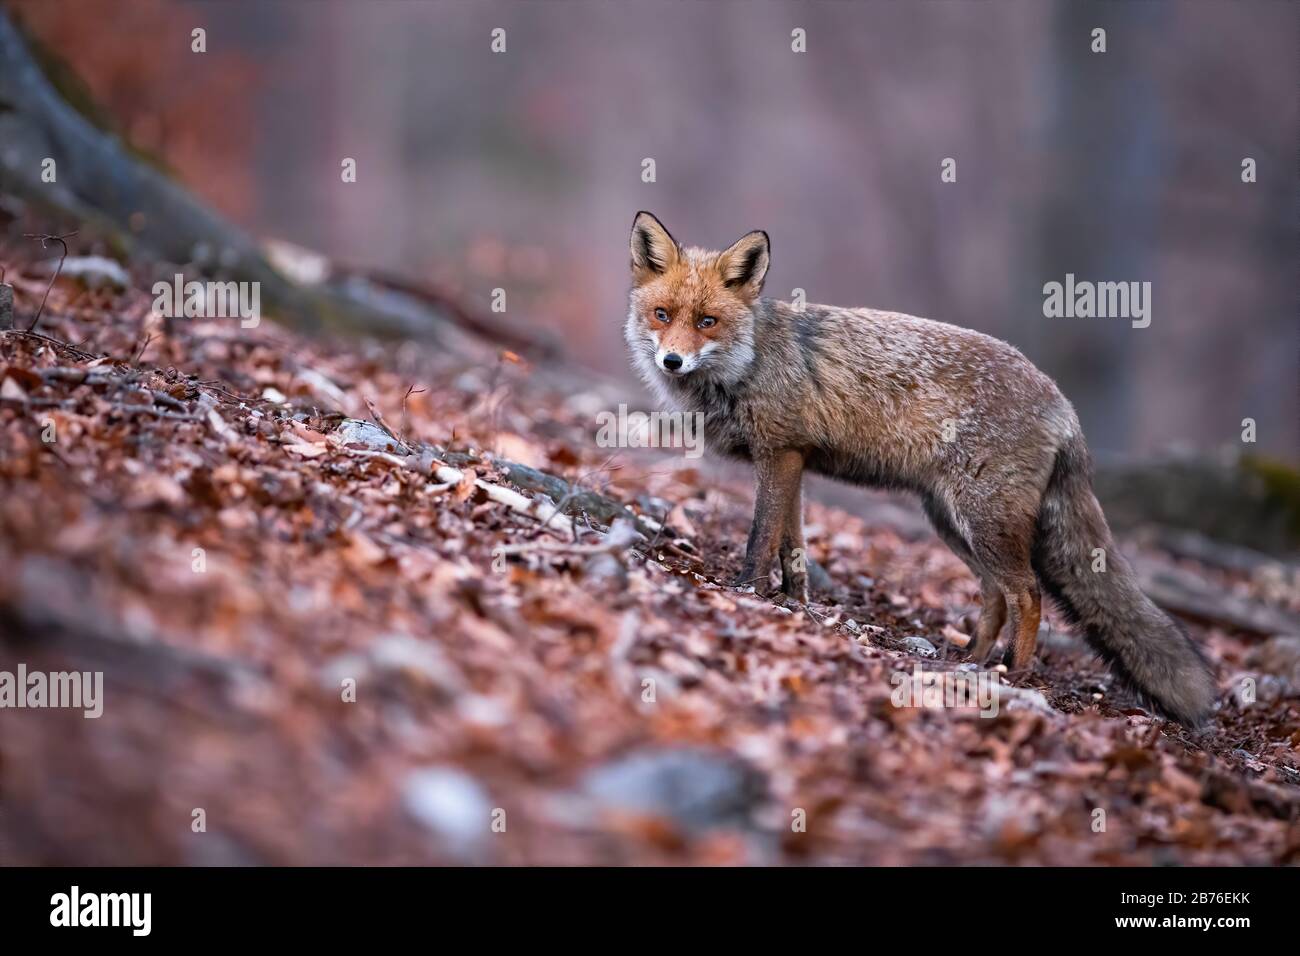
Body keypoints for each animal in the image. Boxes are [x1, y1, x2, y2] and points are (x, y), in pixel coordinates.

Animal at [624, 211, 1217, 726]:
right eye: (662, 316)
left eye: (707, 322)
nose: (671, 360)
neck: (747, 364)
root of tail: (1066, 406)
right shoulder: (794, 462)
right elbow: (793, 548)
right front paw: (795, 604)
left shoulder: (779, 455)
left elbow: (760, 538)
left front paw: (746, 591)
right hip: (952, 522)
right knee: (994, 595)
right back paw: (971, 659)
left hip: (984, 522)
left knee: (1028, 595)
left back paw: (1013, 673)